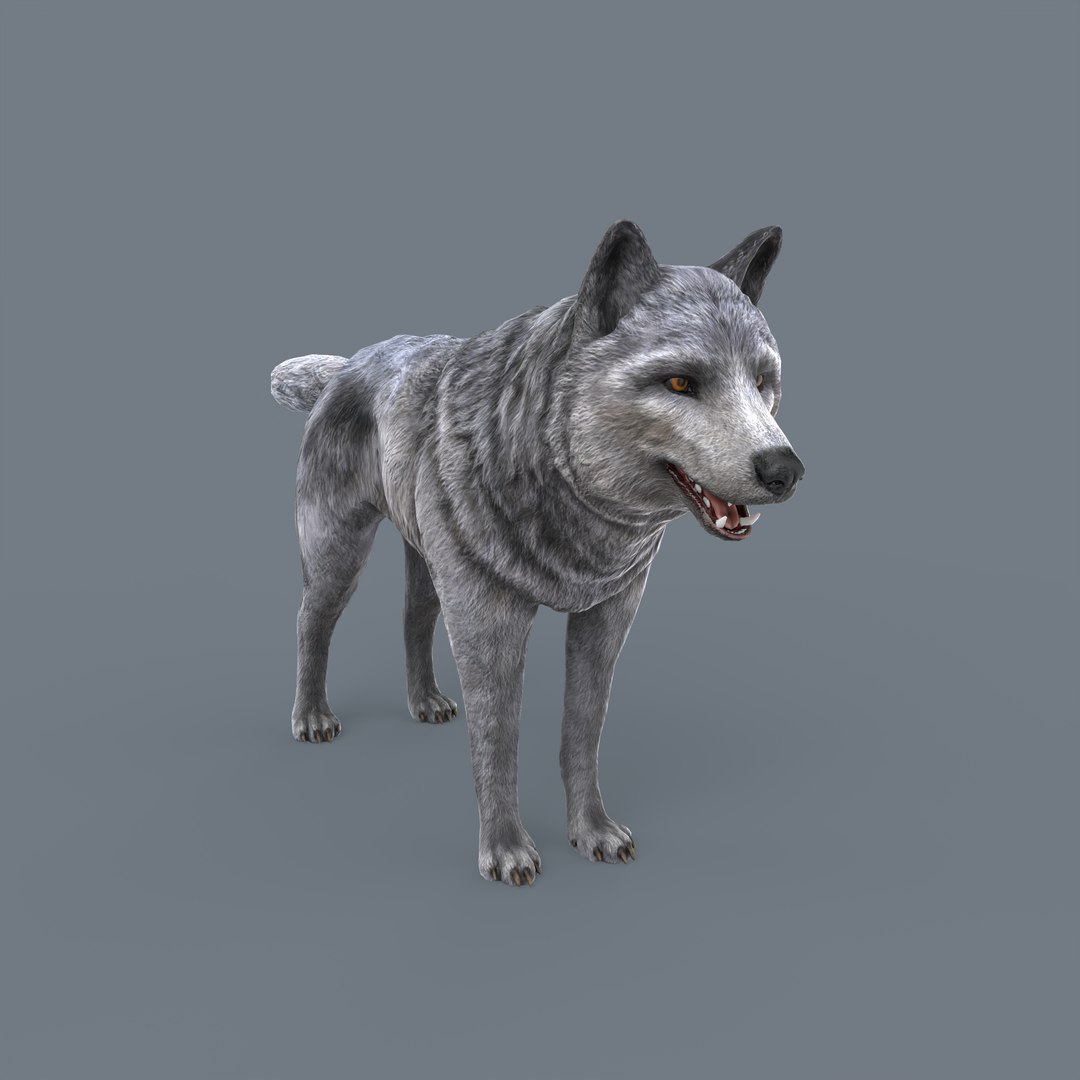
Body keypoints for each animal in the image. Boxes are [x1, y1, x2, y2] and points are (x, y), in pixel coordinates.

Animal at [270, 221, 804, 886]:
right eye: (681, 382)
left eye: (761, 381)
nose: (786, 470)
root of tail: (349, 364)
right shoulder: (489, 619)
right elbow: (499, 738)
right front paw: (505, 851)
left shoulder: (609, 615)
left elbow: (583, 730)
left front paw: (594, 832)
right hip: (339, 556)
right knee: (311, 621)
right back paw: (312, 717)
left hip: (427, 563)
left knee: (413, 619)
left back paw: (425, 703)